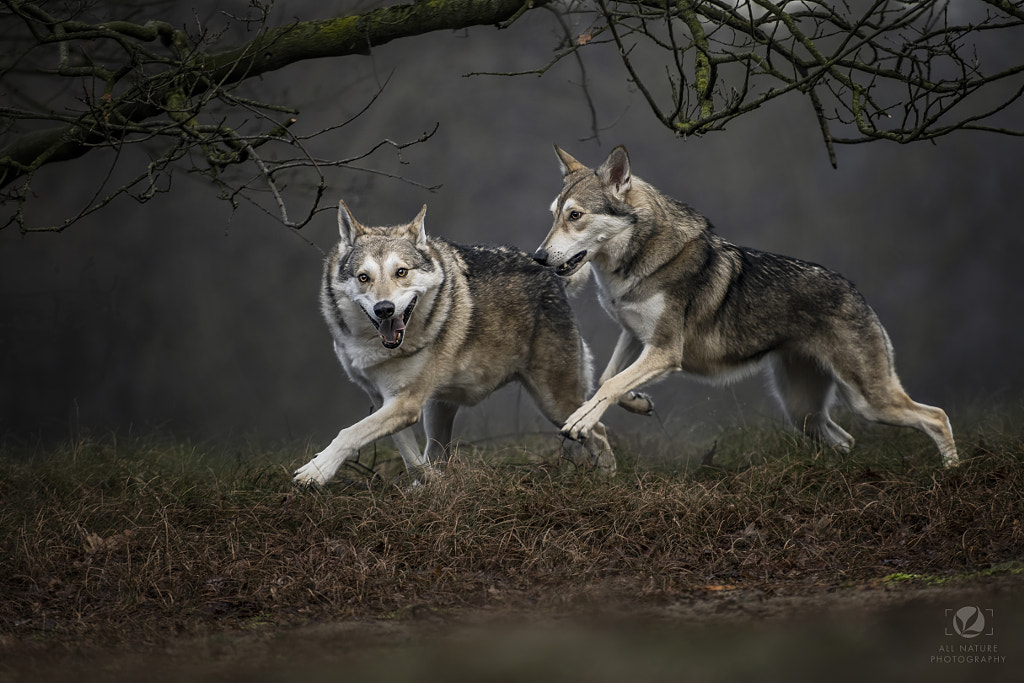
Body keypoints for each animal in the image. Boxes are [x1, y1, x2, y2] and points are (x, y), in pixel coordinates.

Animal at [293, 200, 616, 486]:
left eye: (401, 272)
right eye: (364, 277)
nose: (384, 309)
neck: (374, 348)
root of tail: (549, 272)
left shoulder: (406, 403)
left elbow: (349, 433)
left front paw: (315, 472)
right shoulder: (385, 398)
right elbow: (407, 454)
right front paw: (428, 484)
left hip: (554, 404)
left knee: (598, 430)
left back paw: (607, 481)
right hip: (440, 408)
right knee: (438, 452)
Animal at [532, 145, 958, 467]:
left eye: (575, 216)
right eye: (552, 215)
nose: (538, 257)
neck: (635, 263)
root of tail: (856, 290)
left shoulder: (666, 351)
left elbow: (608, 386)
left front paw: (580, 422)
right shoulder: (636, 336)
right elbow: (610, 380)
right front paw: (636, 403)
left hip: (868, 401)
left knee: (936, 417)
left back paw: (950, 474)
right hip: (804, 413)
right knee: (847, 440)